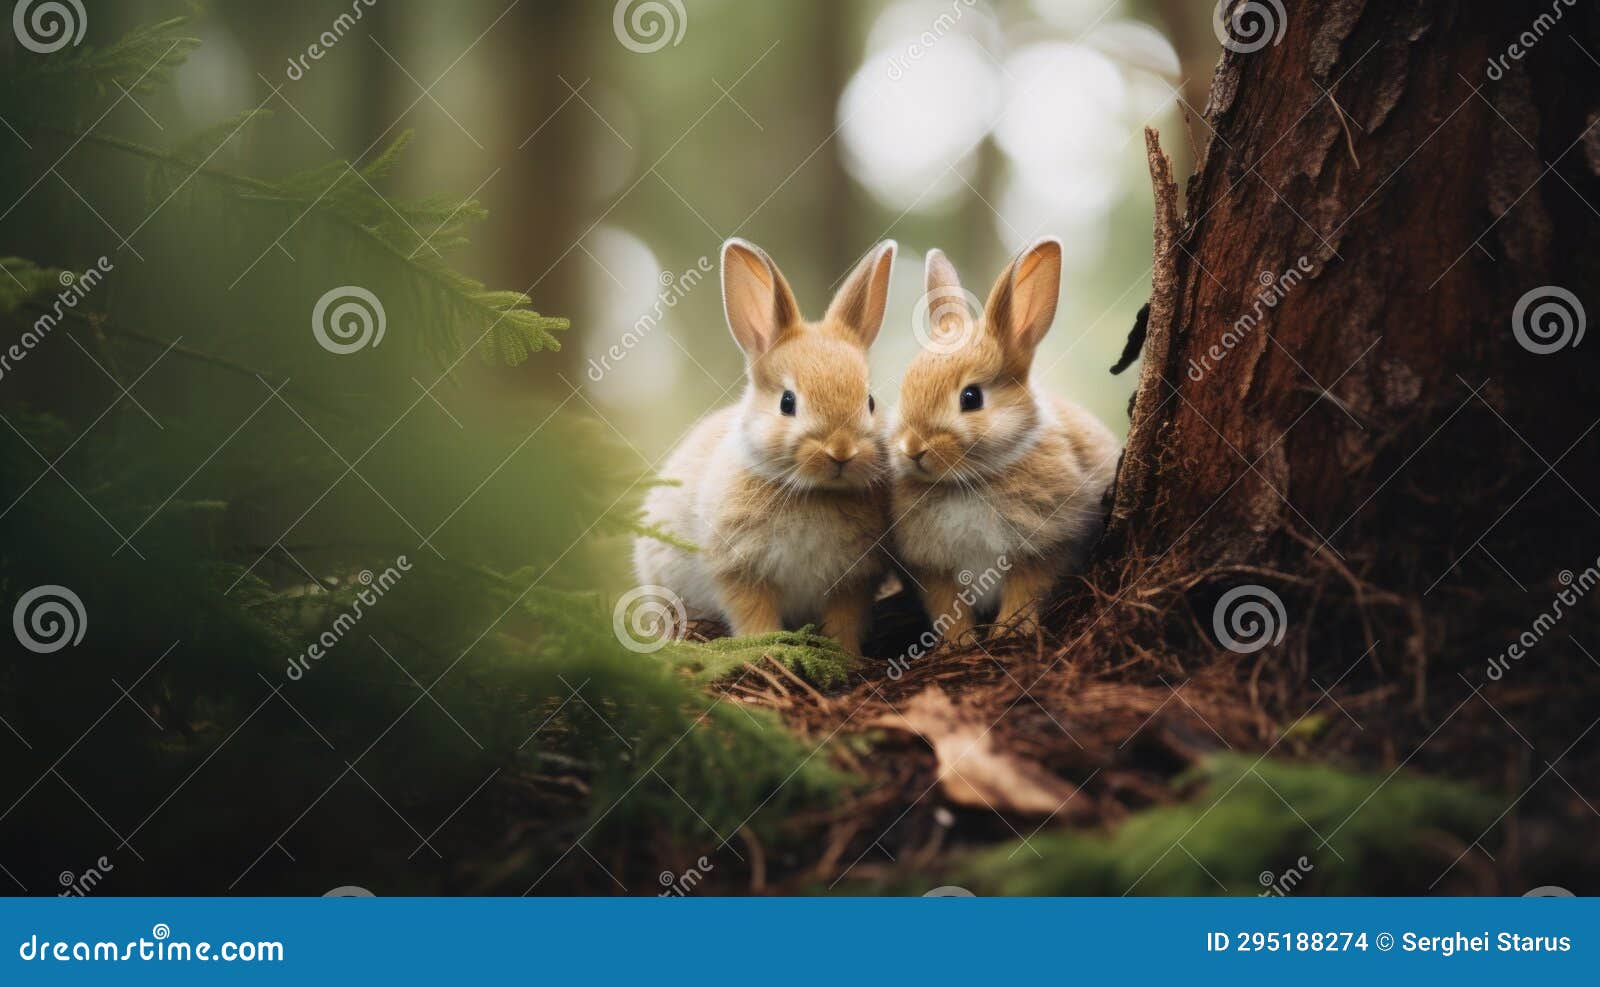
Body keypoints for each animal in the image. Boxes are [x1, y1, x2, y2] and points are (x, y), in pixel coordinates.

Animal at [632, 238, 897, 656]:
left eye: (869, 402)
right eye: (787, 403)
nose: (841, 450)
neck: (815, 493)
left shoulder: (851, 581)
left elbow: (844, 621)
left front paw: (848, 658)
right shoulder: (738, 570)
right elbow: (752, 613)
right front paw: (767, 648)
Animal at [888, 238, 1120, 641]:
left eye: (971, 398)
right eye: (905, 388)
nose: (913, 449)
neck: (966, 483)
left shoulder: (1041, 549)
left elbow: (1025, 591)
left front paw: (1008, 633)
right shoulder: (935, 569)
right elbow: (947, 606)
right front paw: (956, 644)